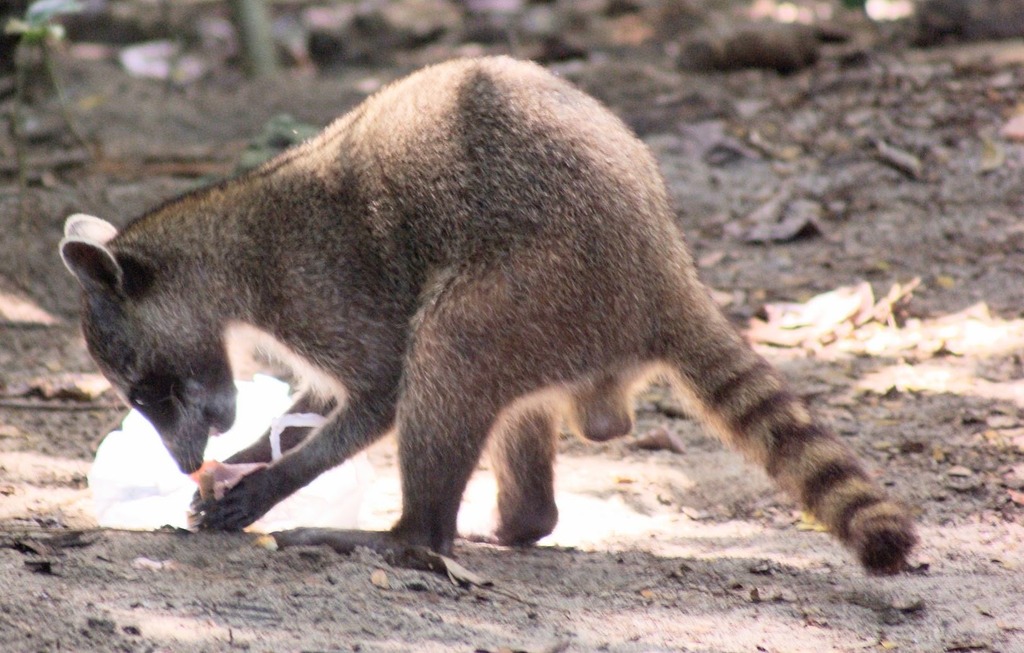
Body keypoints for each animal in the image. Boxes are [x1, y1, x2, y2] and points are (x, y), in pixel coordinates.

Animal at [60, 56, 915, 573]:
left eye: (147, 388)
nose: (183, 461)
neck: (222, 242)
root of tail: (664, 266)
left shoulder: (318, 280)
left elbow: (379, 389)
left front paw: (274, 477)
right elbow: (319, 397)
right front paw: (250, 454)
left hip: (539, 278)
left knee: (450, 350)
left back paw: (409, 534)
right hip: (560, 318)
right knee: (513, 403)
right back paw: (522, 519)